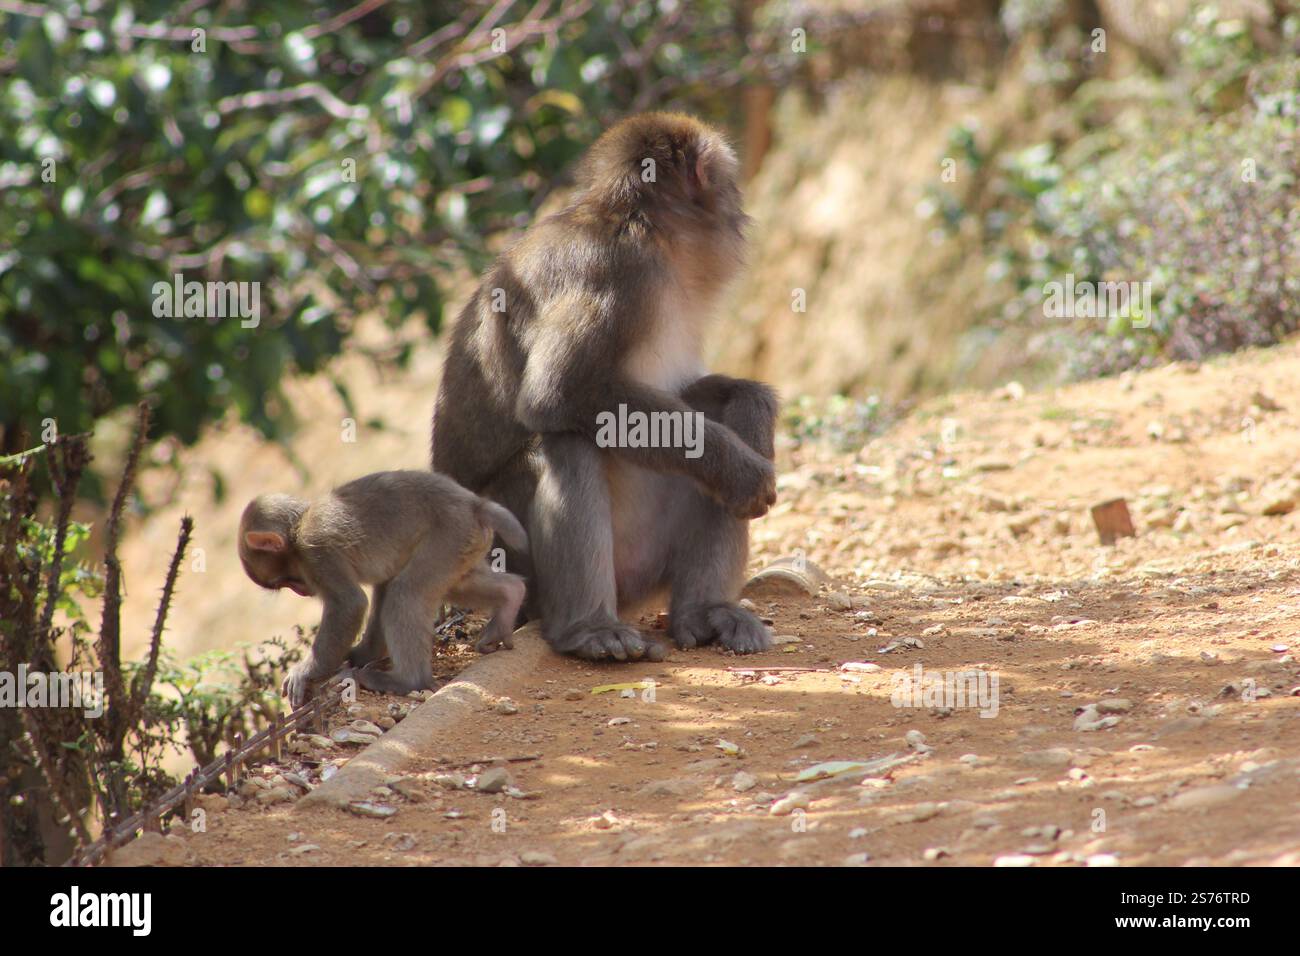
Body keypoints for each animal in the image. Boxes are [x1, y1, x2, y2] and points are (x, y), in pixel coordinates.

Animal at [237, 470, 528, 707]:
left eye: (285, 581)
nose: (301, 591)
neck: (300, 524)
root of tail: (474, 504)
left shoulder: (317, 550)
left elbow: (350, 604)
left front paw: (307, 671)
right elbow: (381, 585)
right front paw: (359, 655)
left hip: (450, 534)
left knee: (406, 593)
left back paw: (407, 681)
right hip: (465, 543)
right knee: (454, 583)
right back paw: (510, 596)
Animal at [431, 112, 778, 664]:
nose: (740, 207)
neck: (646, 228)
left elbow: (700, 397)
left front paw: (752, 401)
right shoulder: (619, 274)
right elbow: (558, 394)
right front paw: (740, 470)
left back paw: (705, 612)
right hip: (507, 554)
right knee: (568, 442)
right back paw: (587, 628)